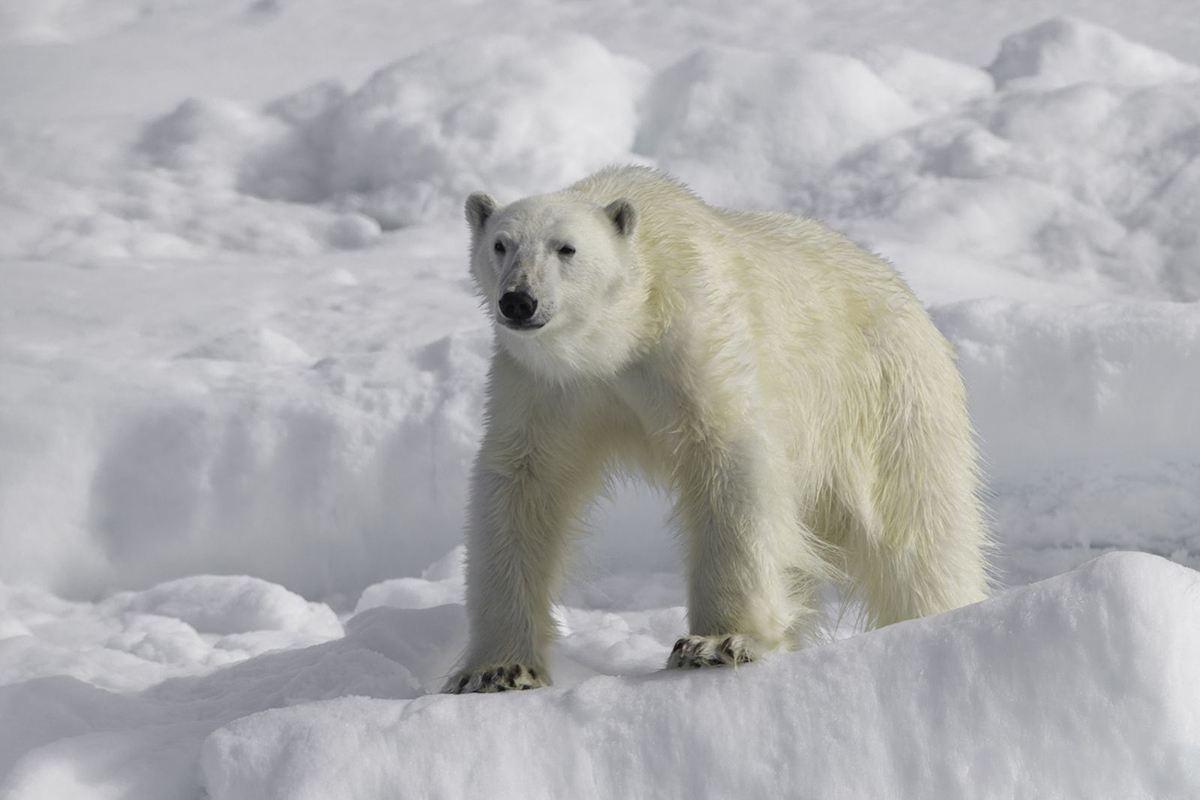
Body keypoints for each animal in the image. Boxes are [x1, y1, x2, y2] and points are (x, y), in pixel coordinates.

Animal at [444, 165, 990, 693]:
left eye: (566, 248)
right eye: (501, 244)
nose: (519, 300)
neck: (620, 334)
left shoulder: (695, 338)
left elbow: (729, 462)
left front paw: (716, 643)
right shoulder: (545, 386)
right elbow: (522, 484)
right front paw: (496, 670)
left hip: (886, 402)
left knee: (918, 534)